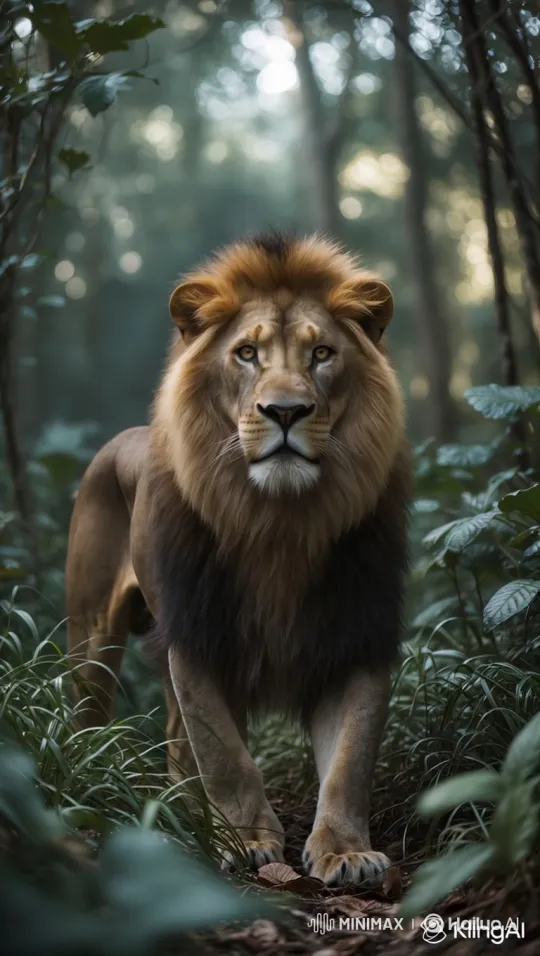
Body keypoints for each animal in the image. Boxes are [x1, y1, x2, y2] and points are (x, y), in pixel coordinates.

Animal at [66, 232, 411, 886]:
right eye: (247, 353)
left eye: (322, 353)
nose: (286, 412)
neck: (280, 521)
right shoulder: (198, 636)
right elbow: (226, 757)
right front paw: (247, 840)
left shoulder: (357, 635)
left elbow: (350, 760)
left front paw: (345, 851)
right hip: (92, 635)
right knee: (89, 713)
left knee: (176, 739)